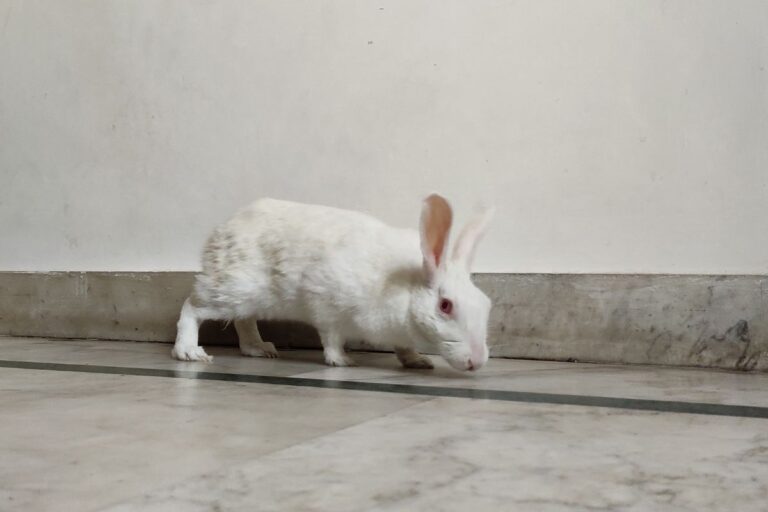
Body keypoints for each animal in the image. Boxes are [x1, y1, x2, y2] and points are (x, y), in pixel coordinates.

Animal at [171, 193, 494, 371]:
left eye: (486, 304)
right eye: (445, 305)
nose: (477, 362)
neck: (405, 288)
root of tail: (222, 229)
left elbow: (403, 348)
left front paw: (418, 361)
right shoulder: (327, 305)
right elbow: (331, 338)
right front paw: (342, 361)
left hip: (247, 298)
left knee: (243, 320)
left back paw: (260, 348)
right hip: (230, 289)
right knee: (192, 307)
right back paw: (190, 352)